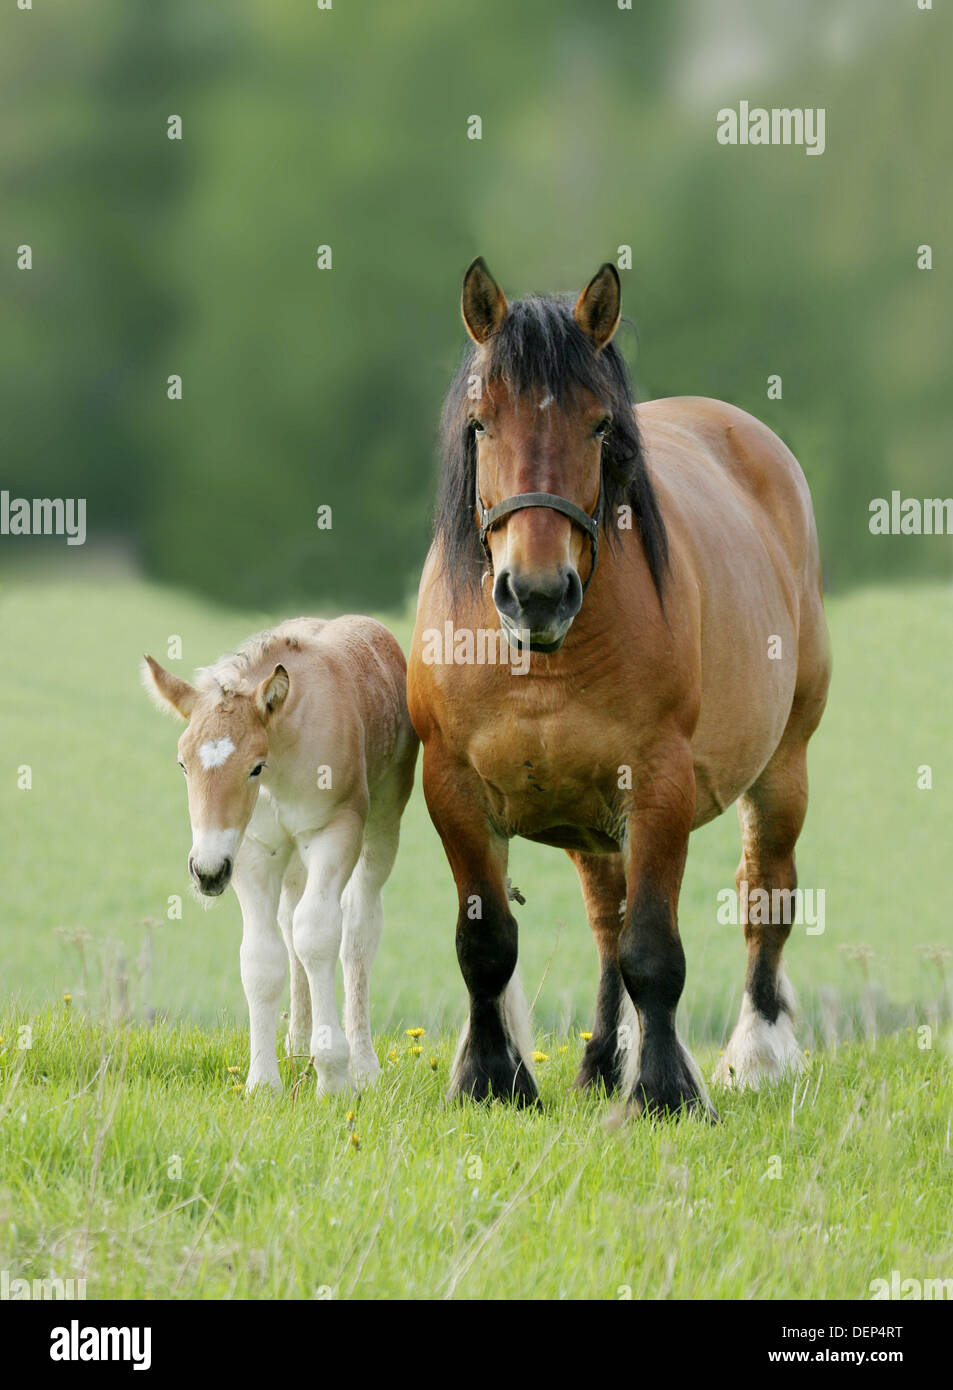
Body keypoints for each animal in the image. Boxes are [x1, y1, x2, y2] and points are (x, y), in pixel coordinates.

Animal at [142, 617, 418, 1096]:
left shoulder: (334, 832)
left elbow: (318, 935)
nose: (206, 872)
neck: (285, 755)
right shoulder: (253, 851)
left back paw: (364, 1067)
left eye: (254, 766)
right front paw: (263, 1081)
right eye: (182, 764)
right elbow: (262, 955)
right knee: (290, 924)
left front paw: (334, 1075)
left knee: (358, 929)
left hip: (382, 823)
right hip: (289, 860)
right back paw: (297, 1046)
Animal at [407, 258, 831, 1118]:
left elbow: (653, 952)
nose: (535, 594)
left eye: (599, 426)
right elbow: (486, 945)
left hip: (783, 765)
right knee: (606, 917)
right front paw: (492, 1079)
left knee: (764, 892)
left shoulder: (659, 782)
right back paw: (603, 1059)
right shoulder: (452, 787)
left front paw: (665, 1091)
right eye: (480, 423)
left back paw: (758, 1053)